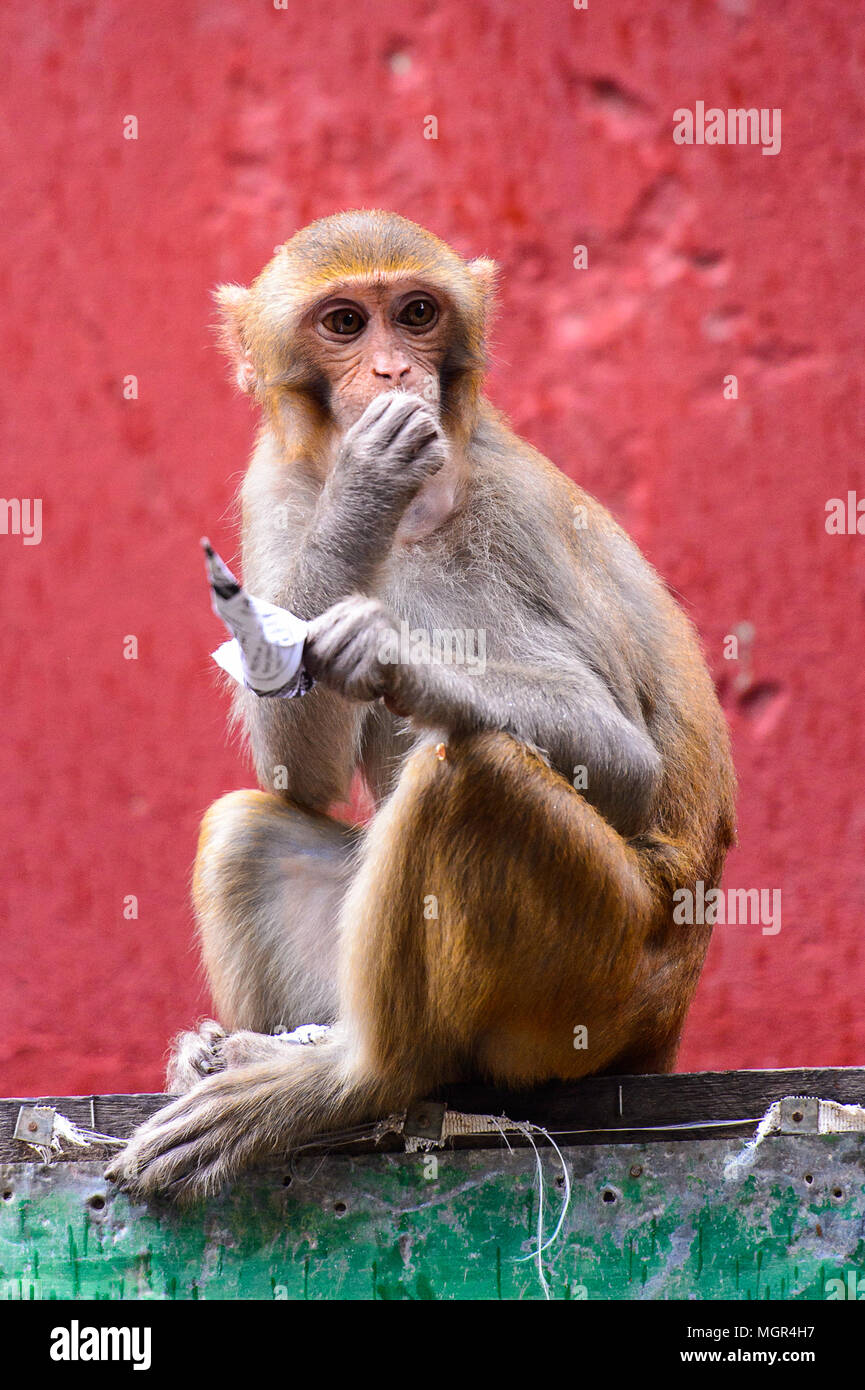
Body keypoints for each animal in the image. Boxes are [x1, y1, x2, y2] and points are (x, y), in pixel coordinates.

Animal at [107, 210, 736, 1201]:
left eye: (414, 314)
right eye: (344, 325)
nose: (392, 373)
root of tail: (666, 1015)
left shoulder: (516, 510)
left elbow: (623, 759)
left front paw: (396, 658)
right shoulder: (275, 481)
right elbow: (294, 768)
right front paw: (360, 495)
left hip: (600, 985)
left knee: (474, 775)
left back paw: (352, 1078)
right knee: (248, 826)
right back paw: (239, 1053)